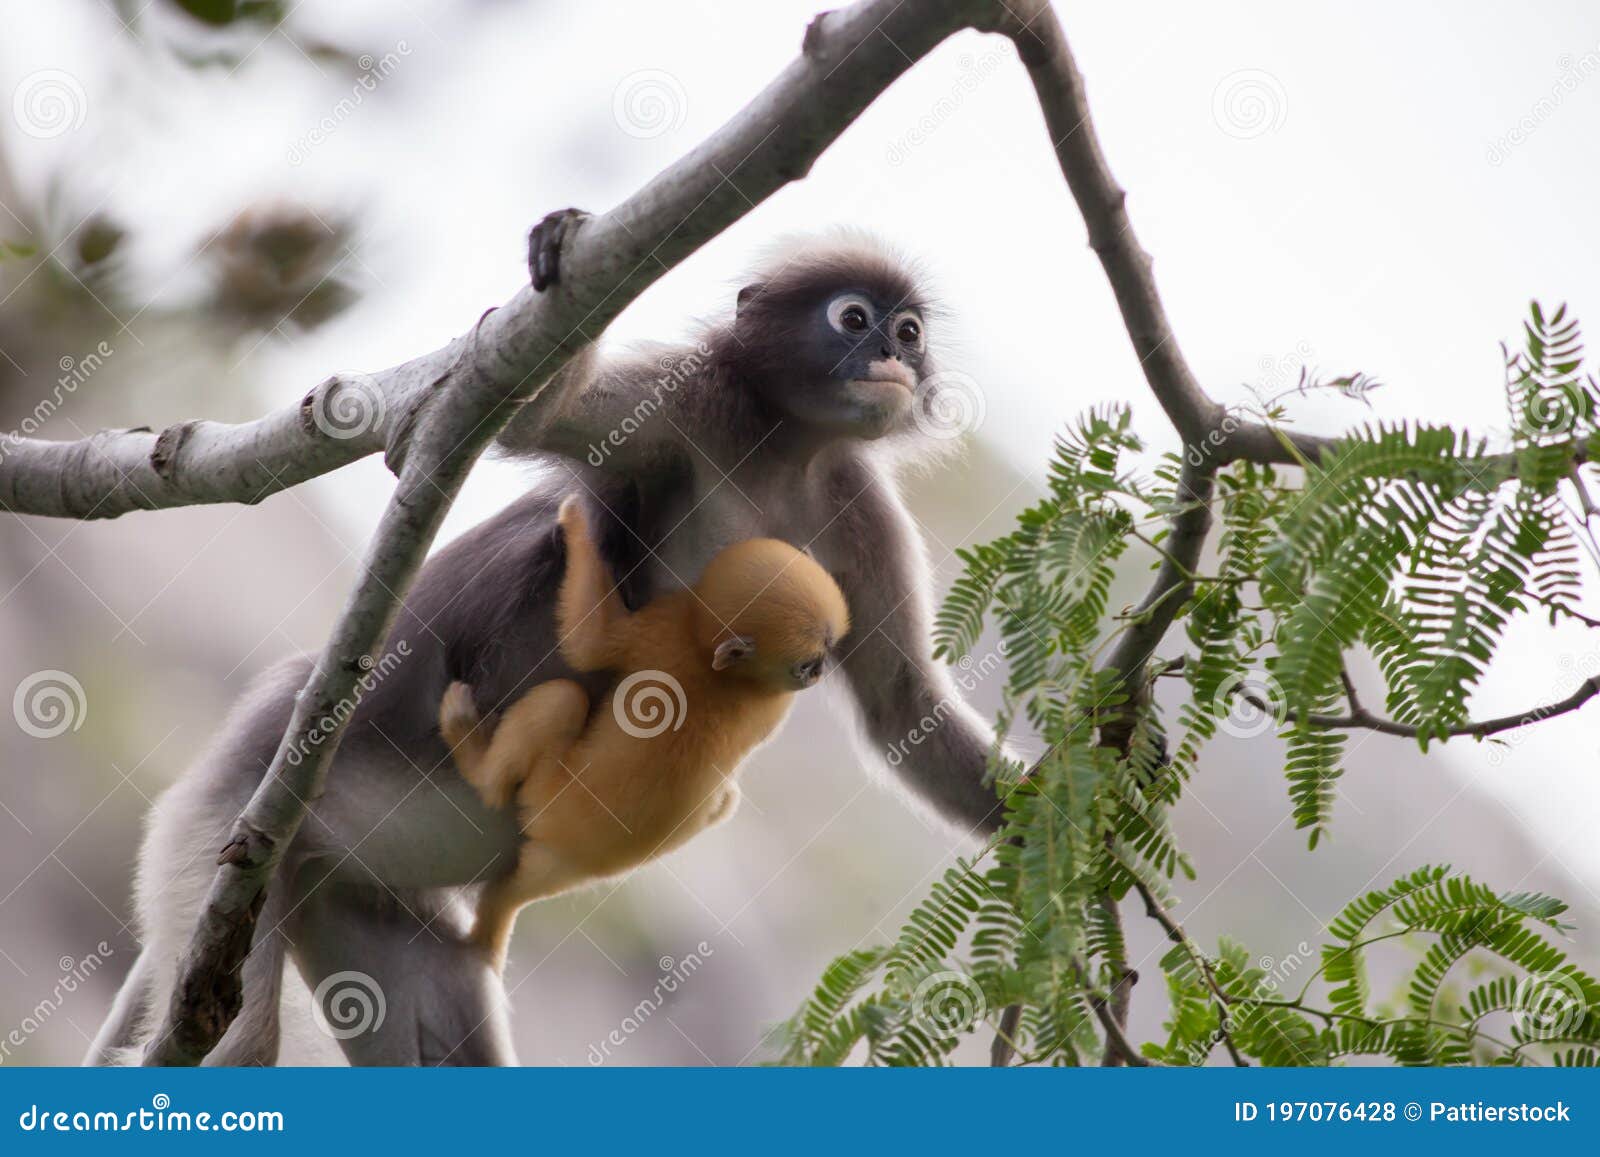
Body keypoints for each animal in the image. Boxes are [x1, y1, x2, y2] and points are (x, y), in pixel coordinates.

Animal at [437, 495, 848, 970]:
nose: (817, 675)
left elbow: (589, 643)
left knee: (560, 701)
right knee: (724, 799)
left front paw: (576, 524)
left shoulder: (662, 628)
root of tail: (573, 861)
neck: (724, 668)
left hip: (542, 798)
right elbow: (591, 643)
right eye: (807, 664)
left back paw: (474, 758)